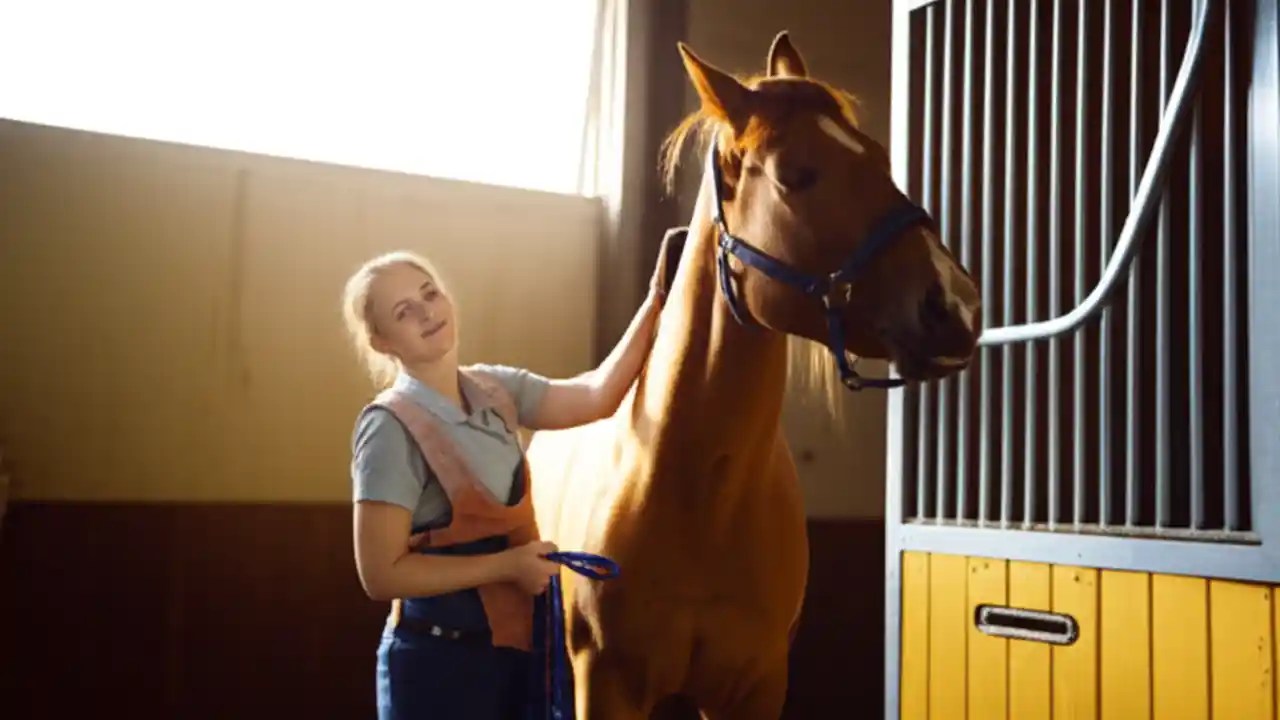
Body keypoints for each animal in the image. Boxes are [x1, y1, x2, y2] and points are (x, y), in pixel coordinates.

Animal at [525, 31, 982, 719]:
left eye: (881, 159)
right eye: (796, 174)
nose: (957, 306)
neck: (700, 496)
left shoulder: (757, 683)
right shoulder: (603, 684)